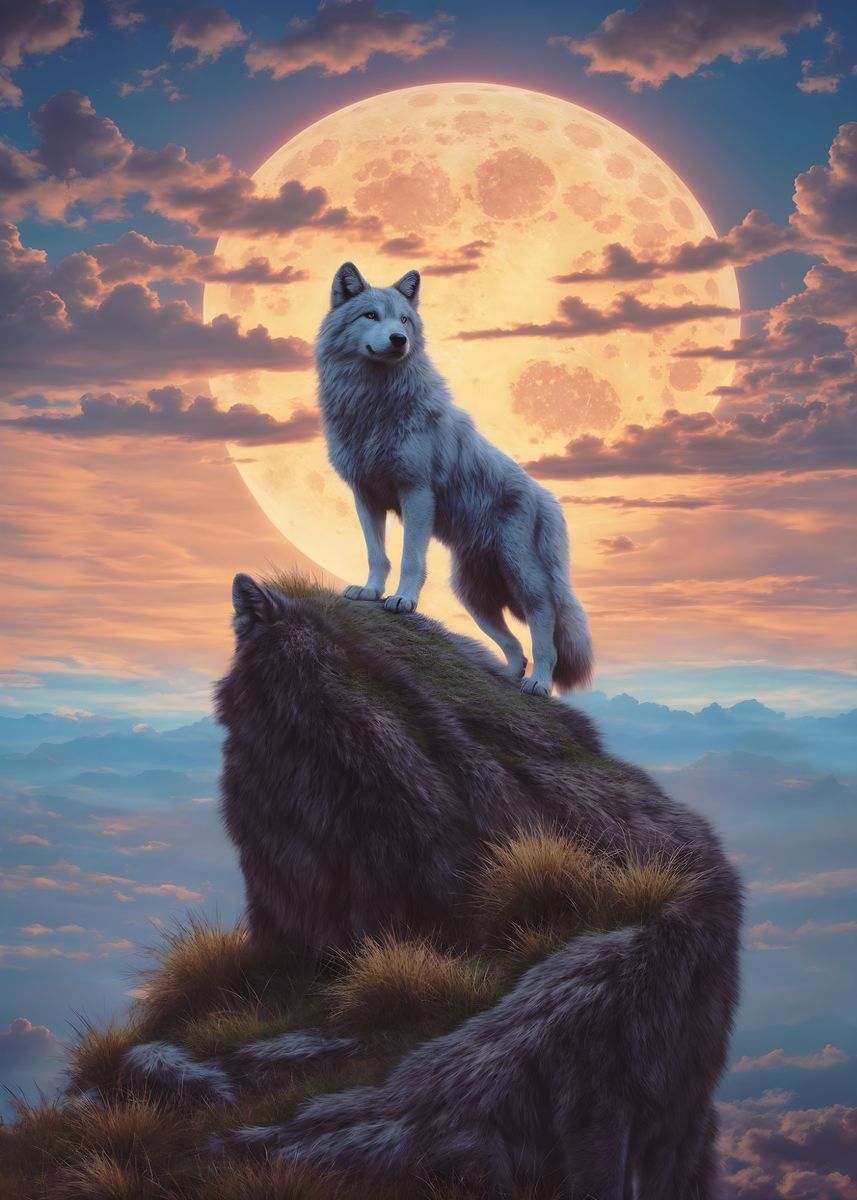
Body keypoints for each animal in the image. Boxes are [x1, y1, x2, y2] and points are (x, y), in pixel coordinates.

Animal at [315, 262, 593, 696]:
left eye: (405, 320)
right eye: (371, 316)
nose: (399, 340)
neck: (374, 403)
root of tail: (548, 500)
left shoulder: (417, 493)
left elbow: (410, 558)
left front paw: (403, 600)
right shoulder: (365, 496)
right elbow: (377, 554)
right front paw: (371, 592)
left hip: (525, 578)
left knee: (544, 622)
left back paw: (538, 684)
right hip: (474, 598)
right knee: (514, 645)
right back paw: (506, 677)